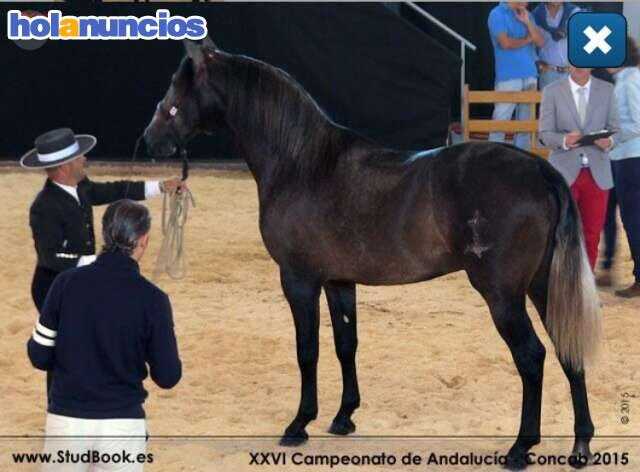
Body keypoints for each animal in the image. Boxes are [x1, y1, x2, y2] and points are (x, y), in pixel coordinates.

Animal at [142, 37, 601, 470]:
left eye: (176, 86)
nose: (149, 139)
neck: (302, 163)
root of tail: (541, 171)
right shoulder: (338, 281)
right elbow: (346, 343)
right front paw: (344, 417)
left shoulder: (298, 280)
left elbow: (307, 349)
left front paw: (299, 424)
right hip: (542, 286)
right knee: (567, 347)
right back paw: (580, 446)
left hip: (503, 295)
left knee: (532, 357)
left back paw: (521, 448)